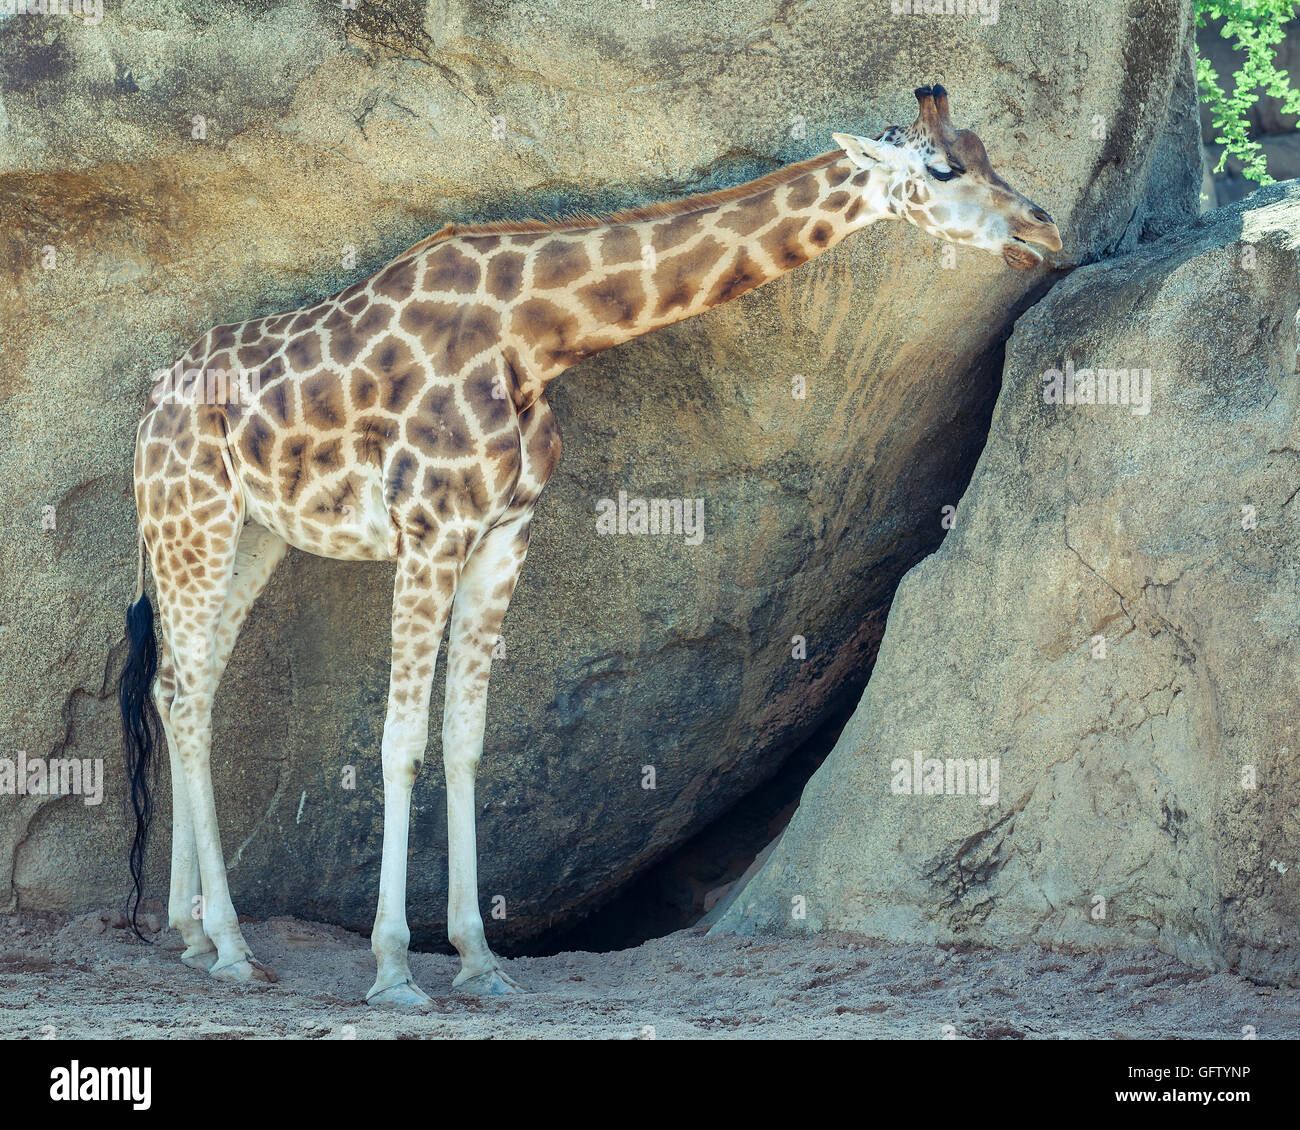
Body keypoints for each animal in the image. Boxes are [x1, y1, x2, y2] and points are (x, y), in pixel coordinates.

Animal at [118, 85, 1061, 1005]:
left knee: (181, 688)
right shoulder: (430, 529)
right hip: (194, 519)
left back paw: (194, 938)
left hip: (252, 537)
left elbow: (466, 739)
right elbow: (400, 742)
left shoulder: (505, 533)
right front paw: (393, 971)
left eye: (986, 152)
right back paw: (232, 947)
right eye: (942, 169)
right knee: (189, 695)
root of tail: (150, 408)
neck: (534, 335)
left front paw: (479, 960)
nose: (1044, 232)